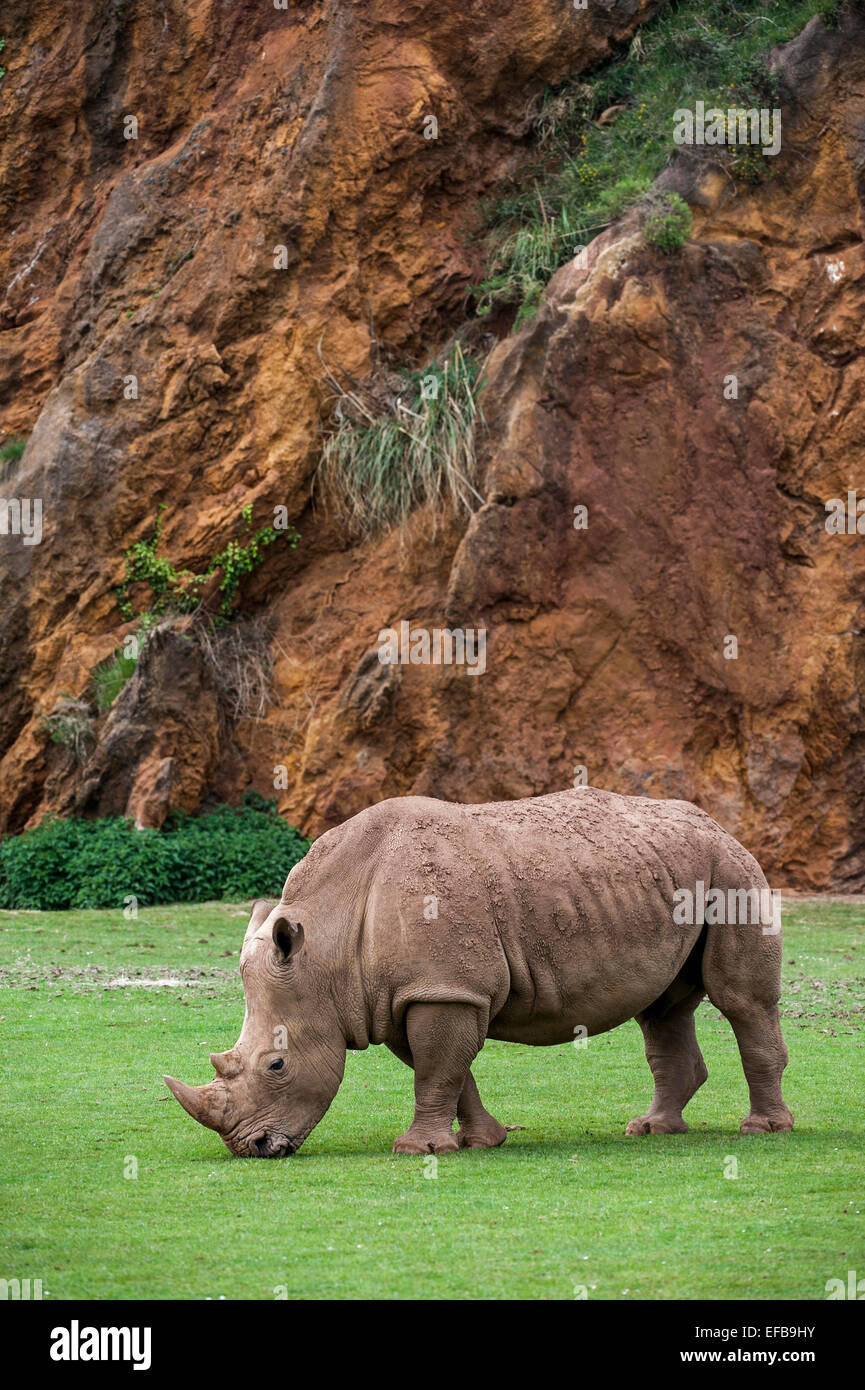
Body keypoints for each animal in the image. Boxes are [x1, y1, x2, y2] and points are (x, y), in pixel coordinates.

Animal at [164, 788, 793, 1156]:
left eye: (276, 1065)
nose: (249, 1147)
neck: (327, 949)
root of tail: (717, 822)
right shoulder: (409, 992)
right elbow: (445, 1070)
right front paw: (479, 1141)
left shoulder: (444, 988)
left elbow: (436, 1070)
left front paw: (417, 1151)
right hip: (674, 871)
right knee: (662, 1009)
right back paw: (652, 1129)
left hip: (730, 869)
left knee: (741, 1002)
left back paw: (762, 1130)